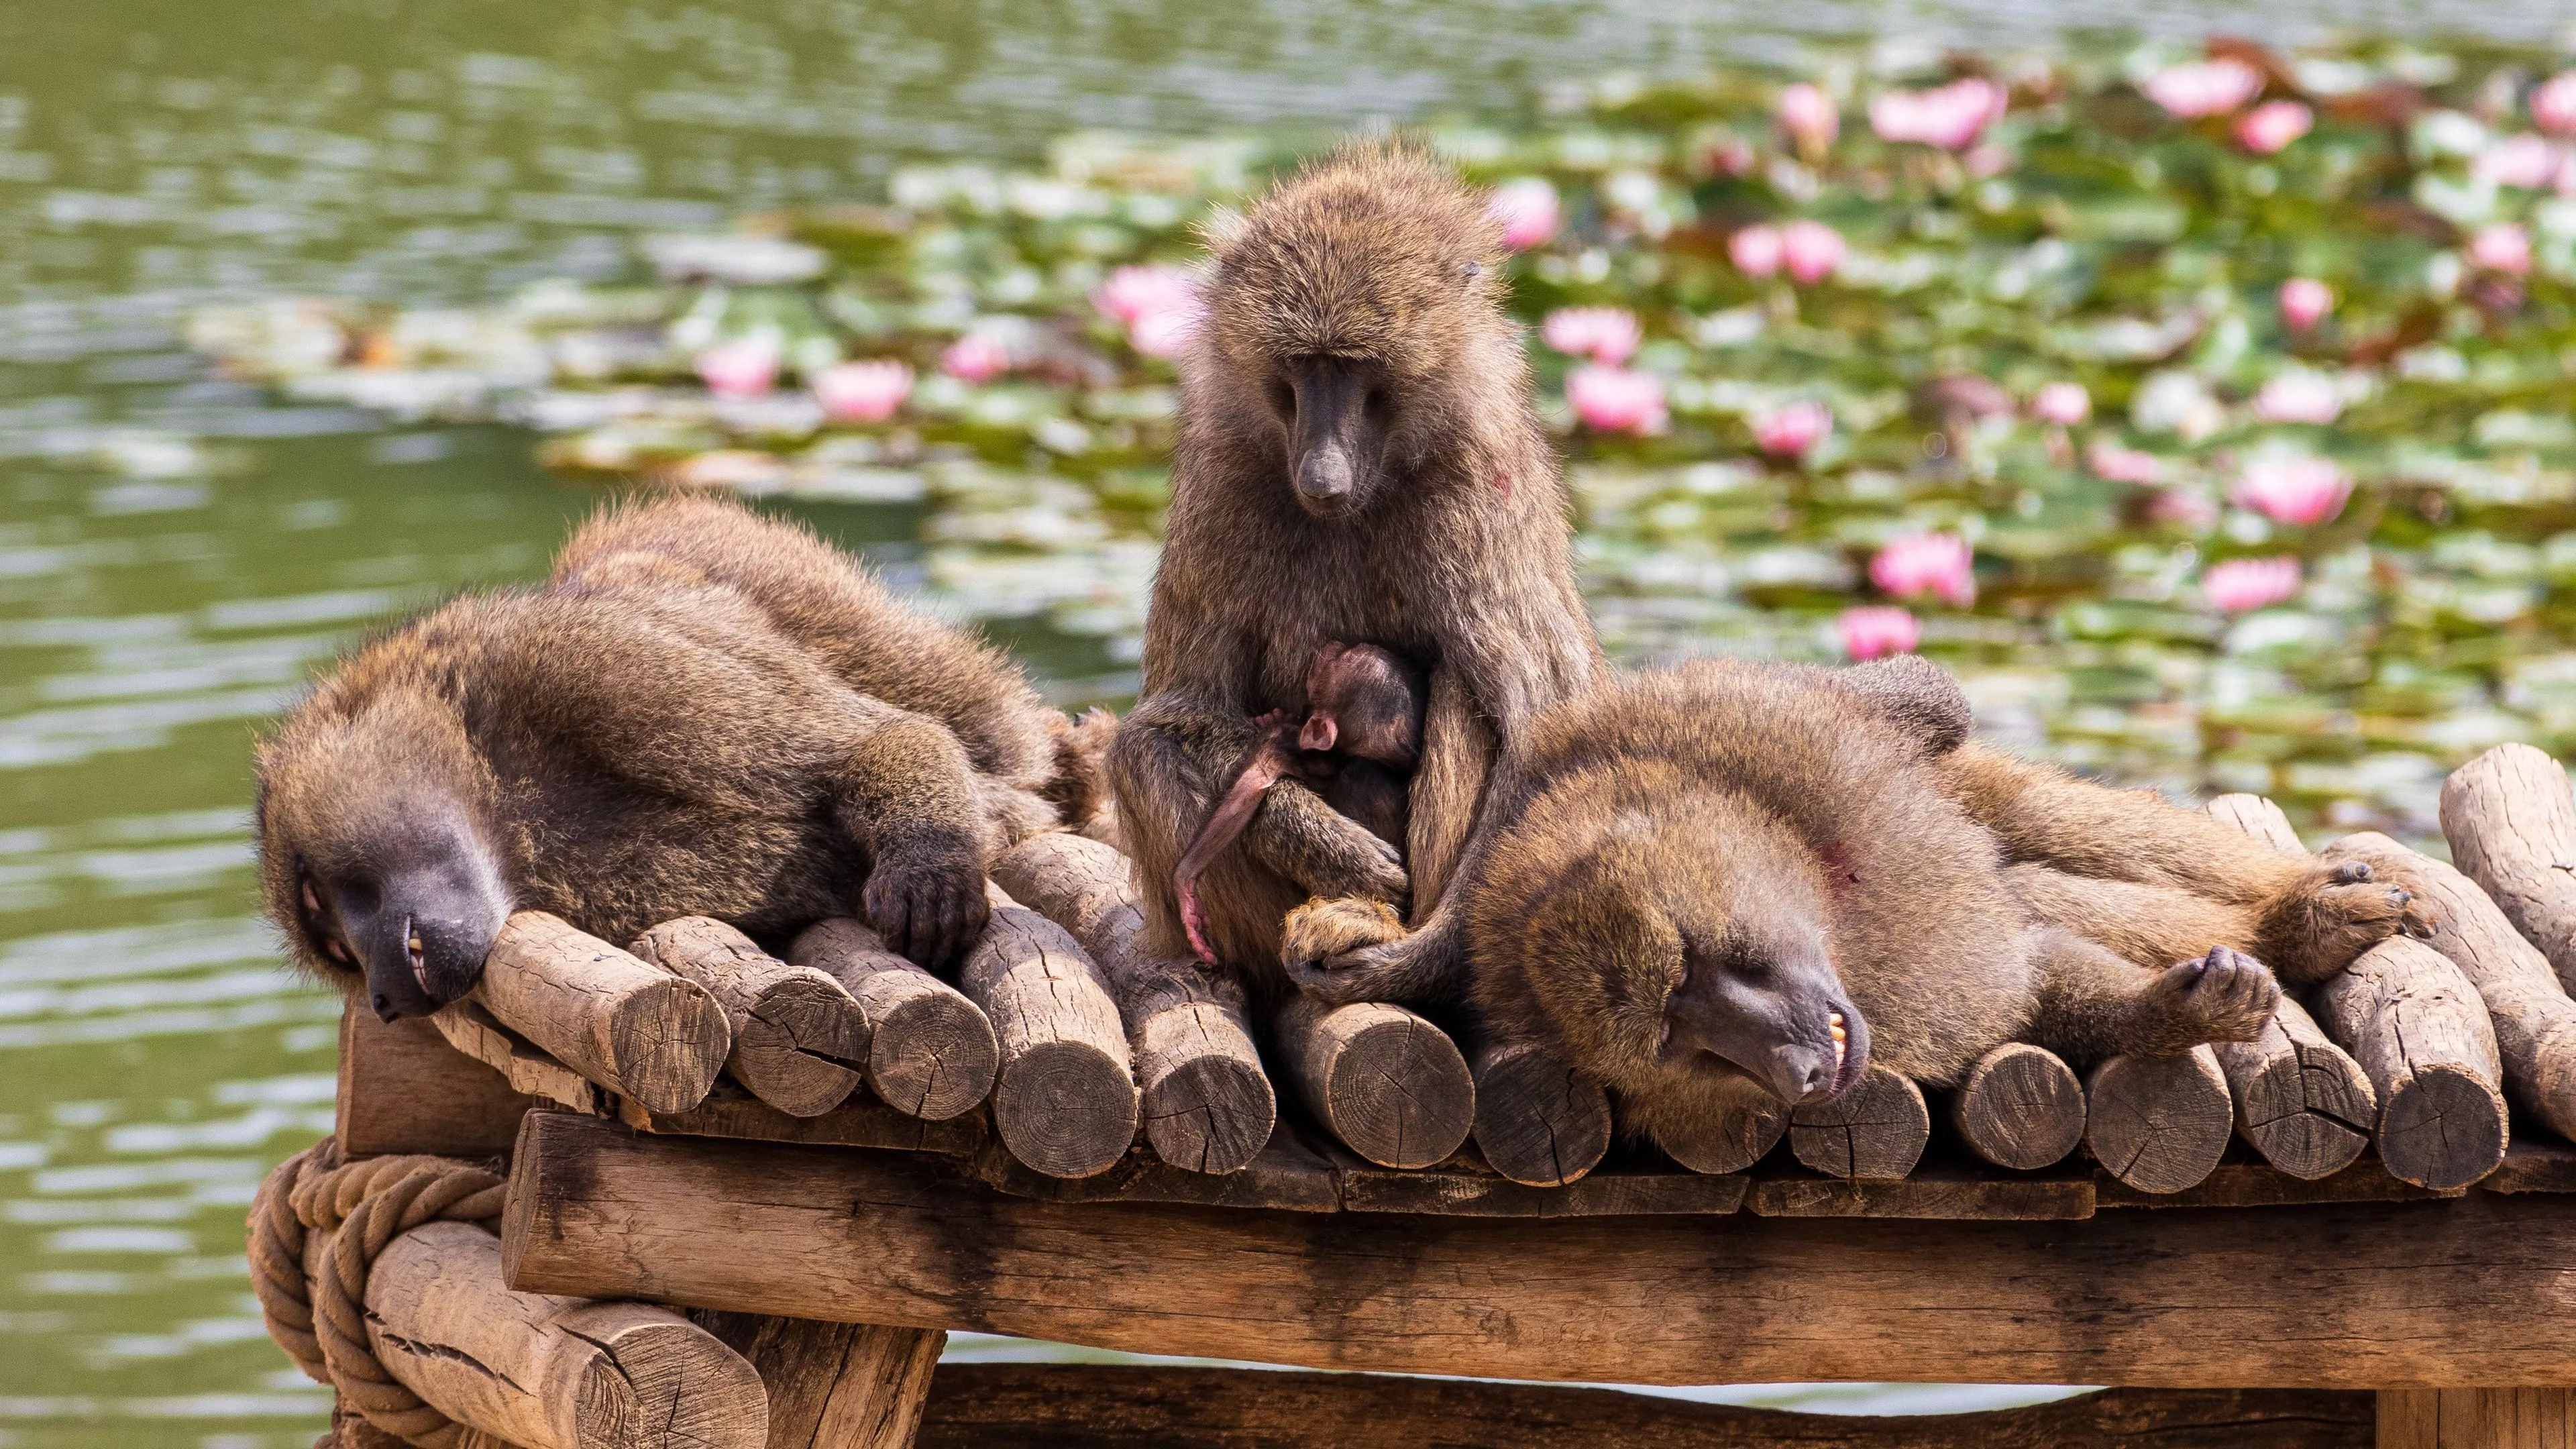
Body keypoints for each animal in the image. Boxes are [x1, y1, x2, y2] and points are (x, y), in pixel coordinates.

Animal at [256, 494, 1066, 1022]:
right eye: (336, 953)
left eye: (315, 898)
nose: (384, 1002)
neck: (502, 794)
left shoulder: (581, 662)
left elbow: (875, 740)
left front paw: (929, 861)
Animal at [1172, 642, 1427, 964]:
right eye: (1351, 652)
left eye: (1339, 661)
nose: (1336, 647)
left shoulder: (1293, 745)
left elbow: (1253, 781)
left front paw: (1185, 887)